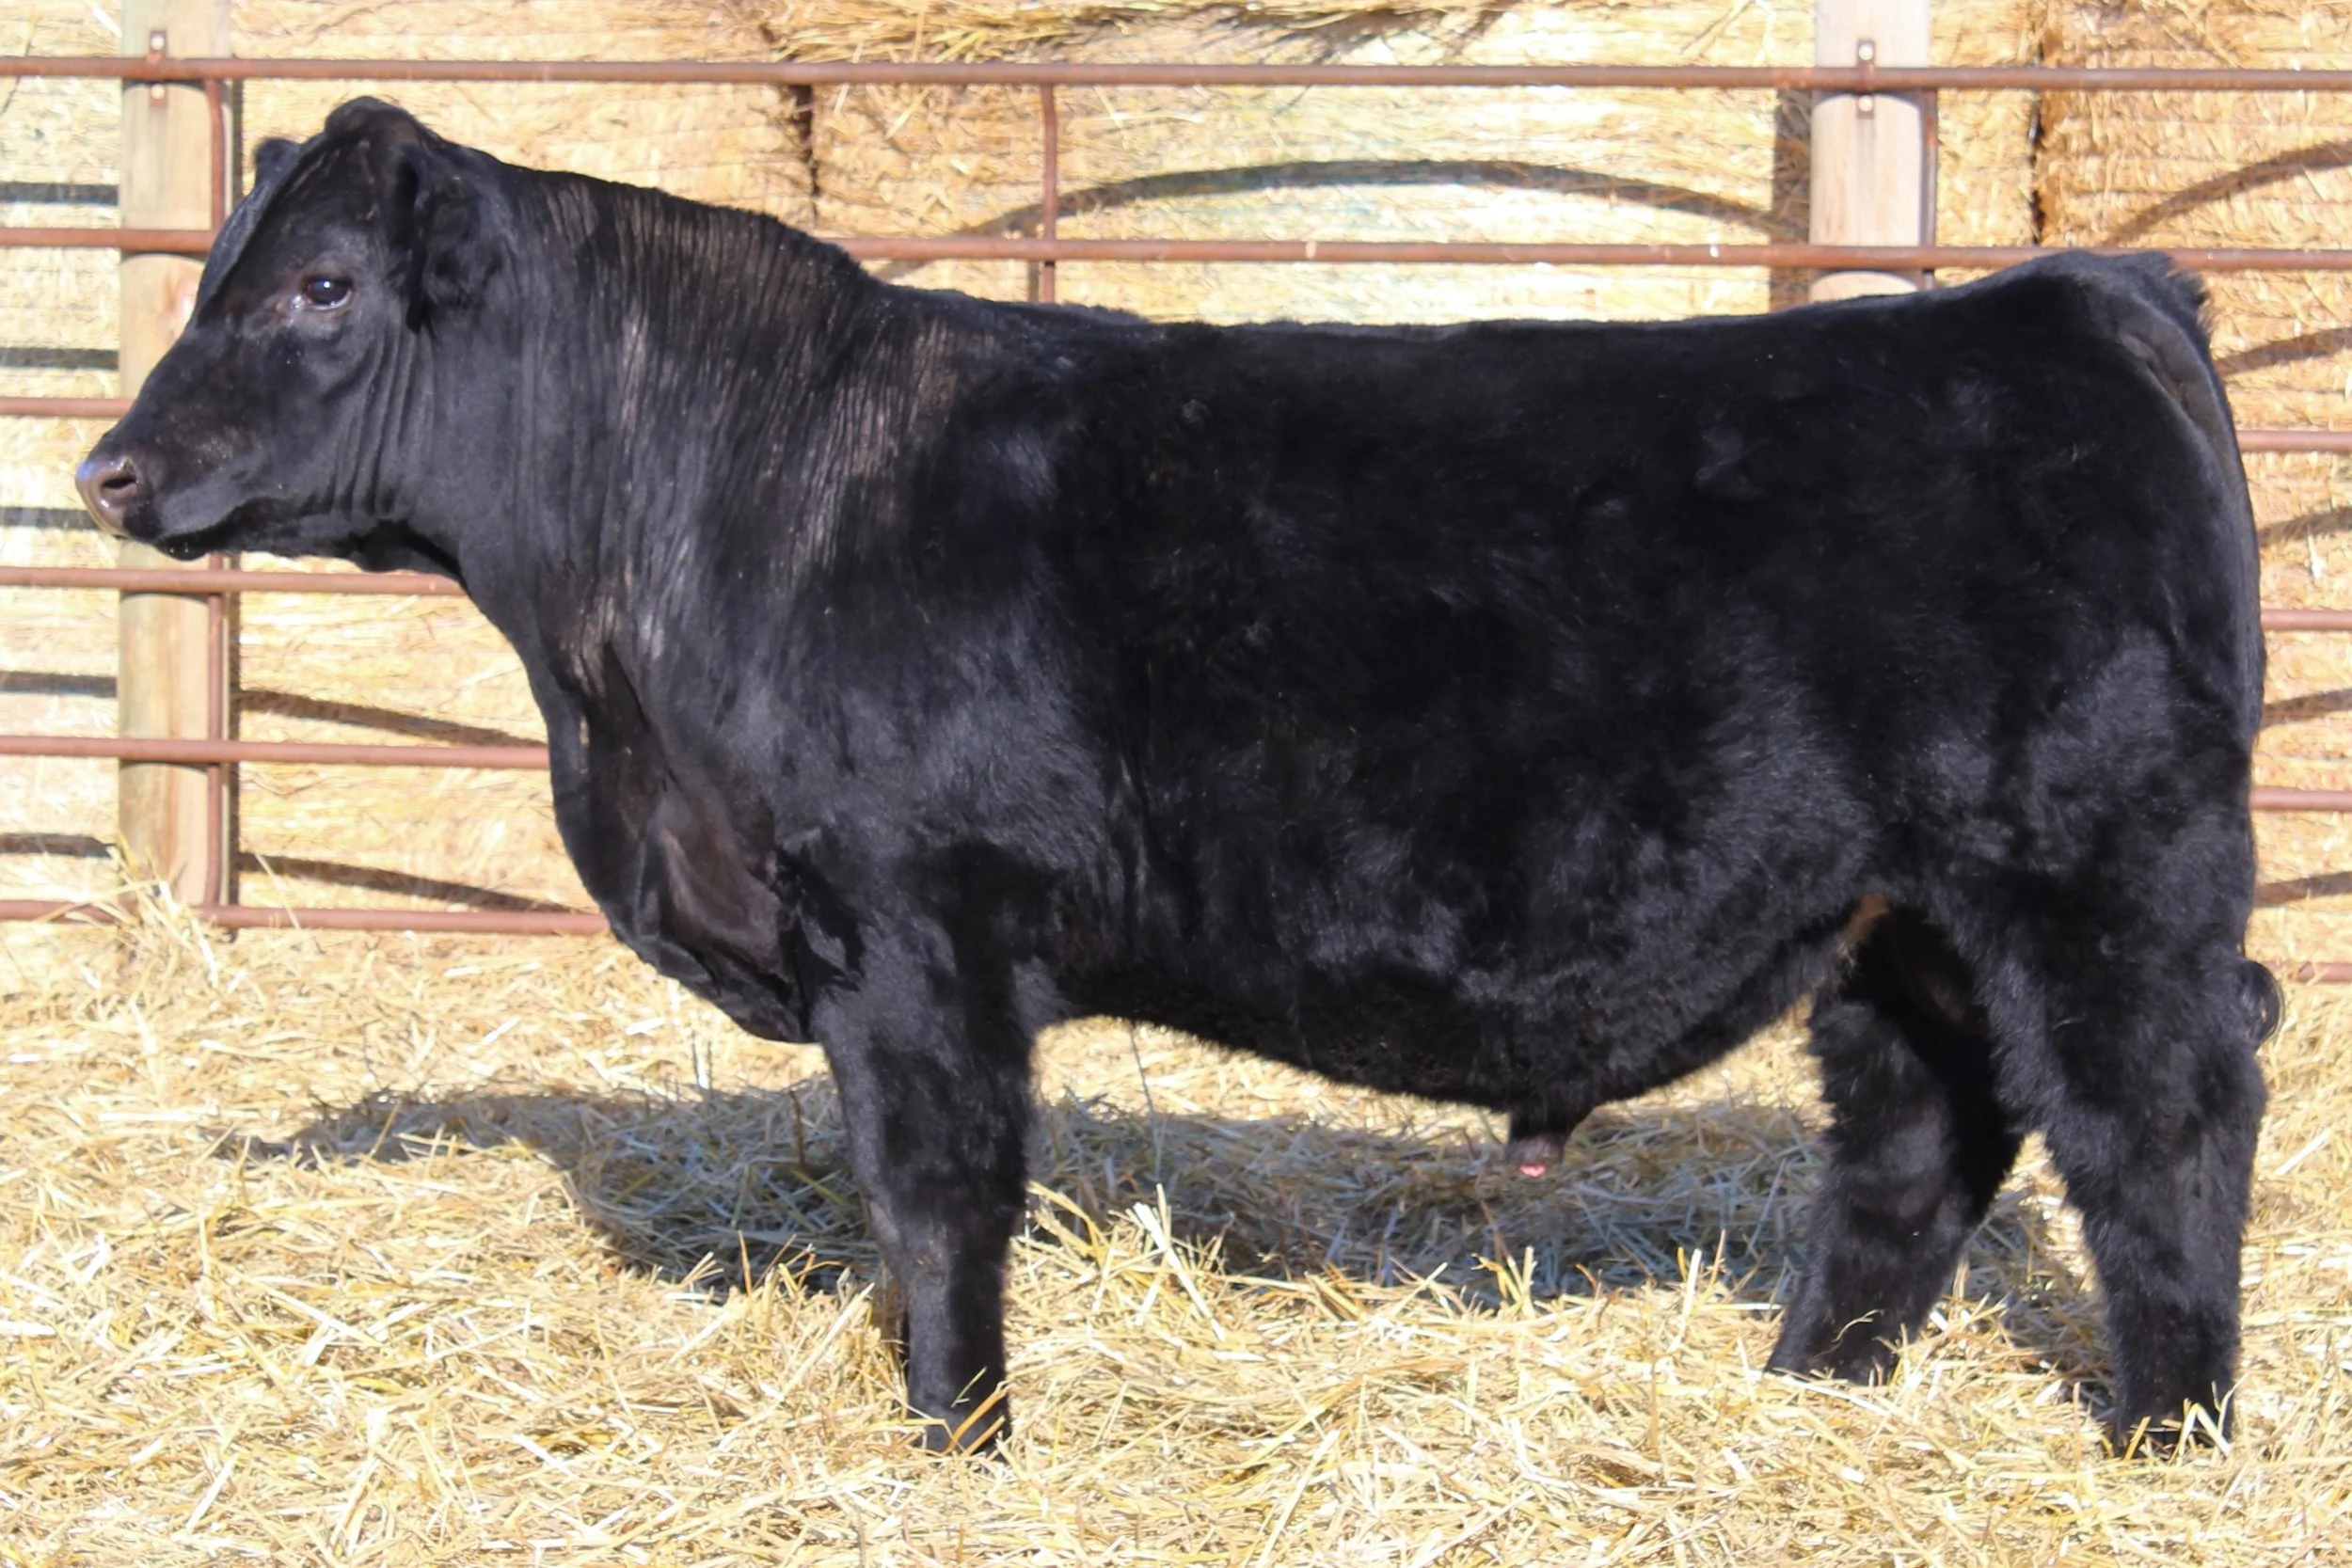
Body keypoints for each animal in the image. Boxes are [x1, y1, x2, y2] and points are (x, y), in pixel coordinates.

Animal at [79, 99, 2277, 1455]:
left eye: (321, 288)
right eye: (220, 273)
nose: (108, 467)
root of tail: (2081, 296)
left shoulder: (917, 929)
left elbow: (937, 1190)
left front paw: (956, 1434)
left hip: (2096, 870)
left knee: (2160, 1113)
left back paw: (2166, 1430)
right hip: (1900, 913)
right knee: (1921, 1134)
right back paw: (1806, 1387)